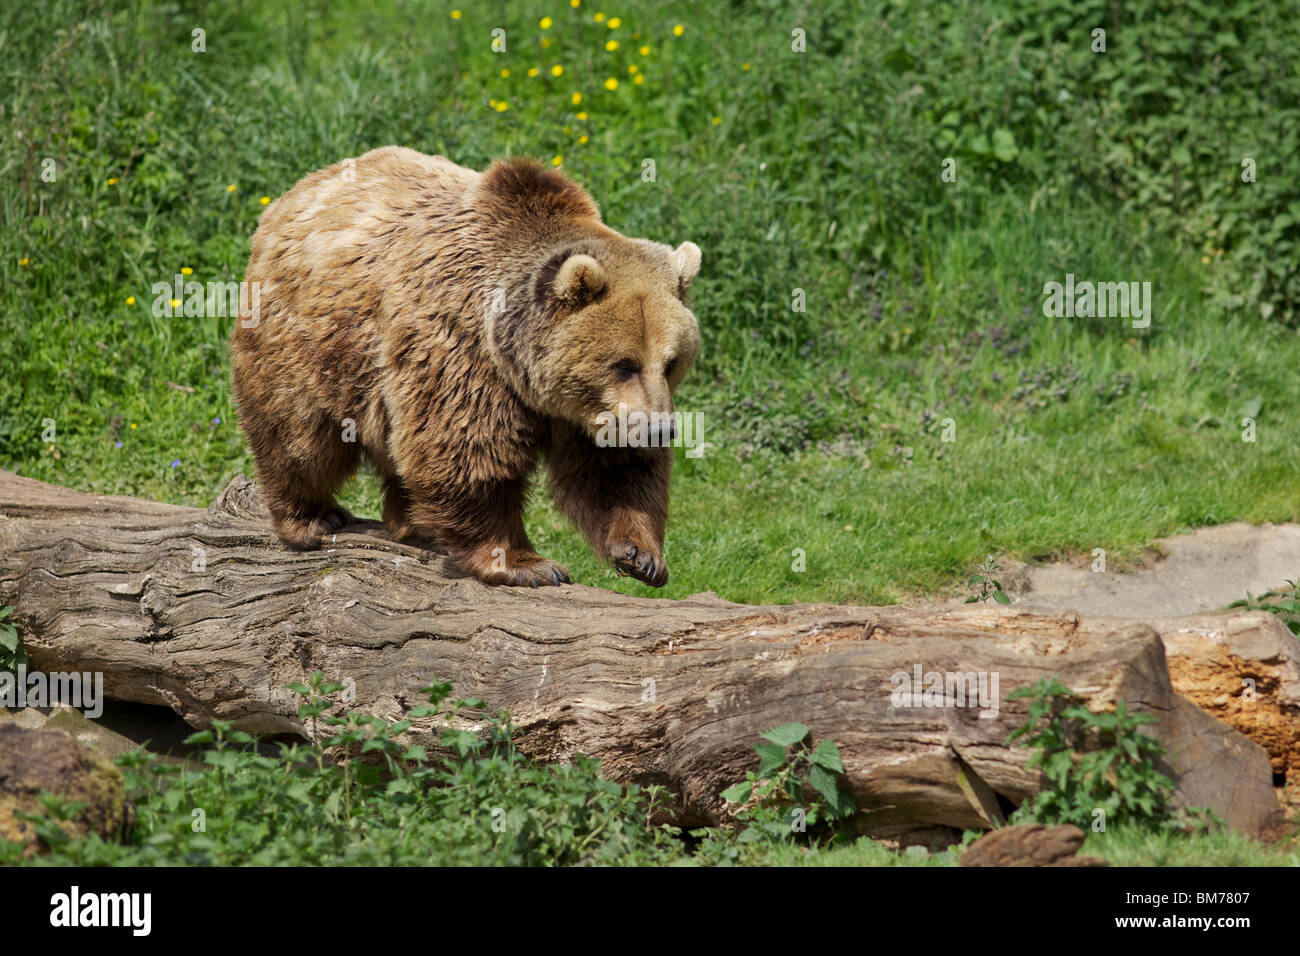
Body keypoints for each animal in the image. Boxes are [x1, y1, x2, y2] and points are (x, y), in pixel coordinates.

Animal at [230, 146, 701, 588]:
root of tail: (298, 192)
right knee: (300, 434)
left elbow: (611, 465)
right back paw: (311, 517)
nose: (660, 429)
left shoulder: (589, 409)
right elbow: (468, 452)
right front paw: (527, 564)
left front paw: (641, 554)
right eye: (623, 364)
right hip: (311, 343)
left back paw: (411, 522)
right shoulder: (465, 352)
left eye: (671, 361)